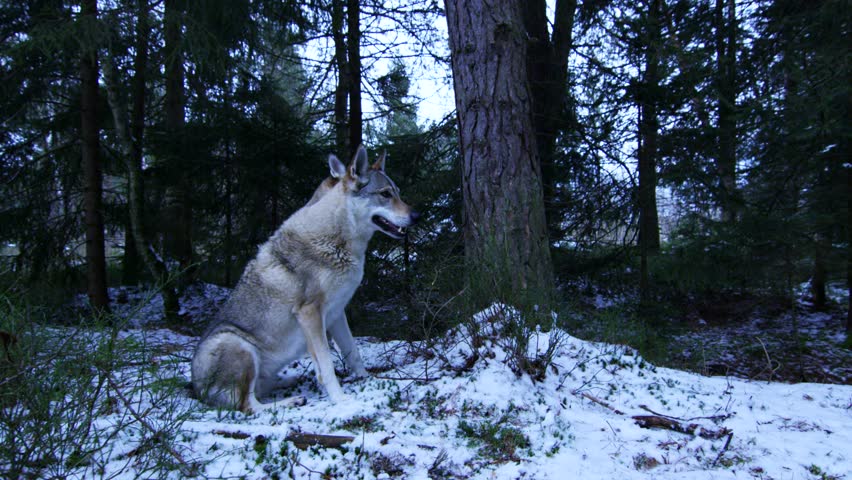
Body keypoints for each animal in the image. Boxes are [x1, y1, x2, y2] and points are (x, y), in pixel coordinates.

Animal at [191, 146, 419, 412]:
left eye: (398, 193)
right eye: (385, 194)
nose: (417, 215)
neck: (338, 240)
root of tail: (194, 388)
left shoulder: (336, 313)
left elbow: (352, 352)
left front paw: (367, 380)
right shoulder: (310, 314)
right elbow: (327, 366)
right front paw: (342, 400)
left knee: (261, 391)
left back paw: (292, 382)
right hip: (238, 346)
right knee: (249, 405)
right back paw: (291, 400)